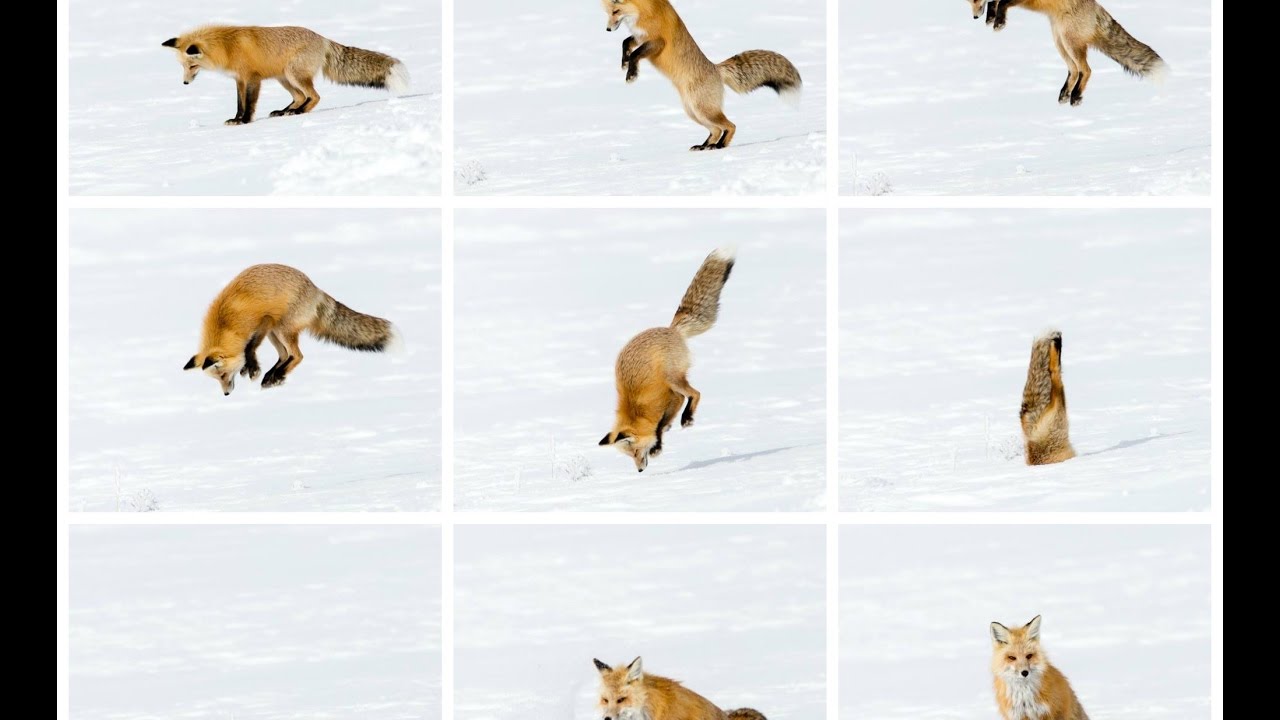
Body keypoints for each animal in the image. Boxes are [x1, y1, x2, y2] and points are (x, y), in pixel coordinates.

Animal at [160, 25, 409, 125]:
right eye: (183, 66)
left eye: (192, 66)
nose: (184, 83)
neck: (227, 46)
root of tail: (323, 38)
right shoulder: (239, 80)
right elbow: (239, 103)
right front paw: (236, 119)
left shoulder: (252, 78)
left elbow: (249, 104)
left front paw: (245, 122)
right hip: (284, 79)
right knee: (300, 97)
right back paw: (284, 111)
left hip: (292, 74)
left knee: (314, 97)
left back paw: (297, 112)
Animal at [183, 264, 400, 396]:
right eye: (217, 379)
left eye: (222, 375)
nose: (226, 394)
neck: (227, 322)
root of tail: (316, 289)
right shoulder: (262, 328)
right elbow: (248, 351)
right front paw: (249, 368)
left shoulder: (265, 320)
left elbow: (249, 347)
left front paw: (252, 368)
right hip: (275, 333)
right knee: (285, 355)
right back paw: (272, 377)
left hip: (281, 328)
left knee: (297, 355)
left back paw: (277, 375)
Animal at [599, 247, 735, 472]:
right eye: (629, 456)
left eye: (635, 452)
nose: (639, 470)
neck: (637, 408)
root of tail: (671, 329)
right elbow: (661, 426)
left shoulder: (671, 398)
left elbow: (661, 425)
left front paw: (658, 445)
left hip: (674, 378)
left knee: (695, 393)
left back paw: (687, 418)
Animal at [602, 0, 802, 150]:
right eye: (608, 12)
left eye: (616, 11)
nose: (607, 30)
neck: (645, 11)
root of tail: (716, 68)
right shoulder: (639, 37)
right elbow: (626, 42)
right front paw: (624, 62)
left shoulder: (657, 41)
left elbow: (635, 53)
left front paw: (631, 72)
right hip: (693, 111)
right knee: (715, 130)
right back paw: (704, 146)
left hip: (703, 109)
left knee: (730, 126)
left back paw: (719, 146)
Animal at [965, 0, 1165, 106]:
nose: (974, 17)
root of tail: (1097, 9)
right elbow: (996, 2)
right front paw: (992, 18)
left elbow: (1002, 3)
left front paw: (998, 21)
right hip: (1059, 41)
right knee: (1074, 70)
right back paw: (1065, 94)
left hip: (1069, 42)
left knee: (1086, 69)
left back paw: (1076, 96)